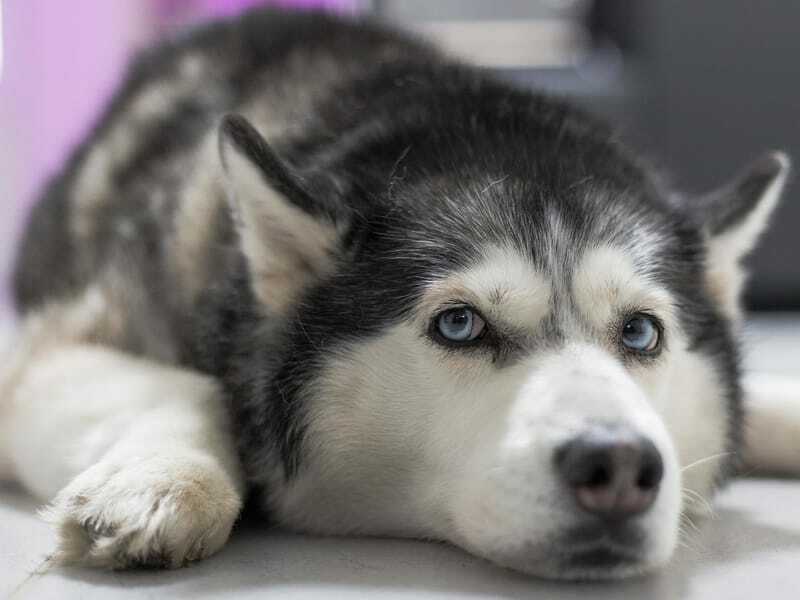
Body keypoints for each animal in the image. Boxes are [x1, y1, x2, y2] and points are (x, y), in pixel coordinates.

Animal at [1, 7, 800, 580]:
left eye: (640, 333)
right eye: (459, 325)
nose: (621, 467)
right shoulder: (43, 354)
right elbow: (195, 389)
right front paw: (161, 479)